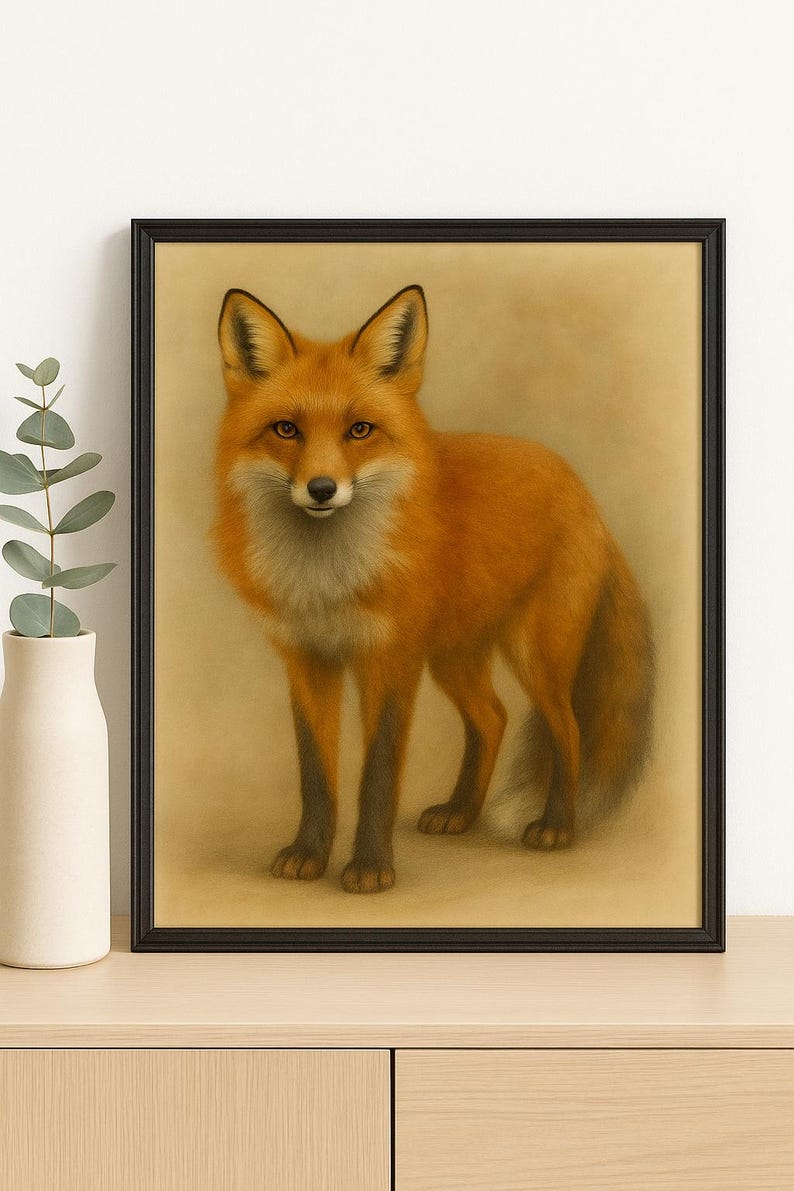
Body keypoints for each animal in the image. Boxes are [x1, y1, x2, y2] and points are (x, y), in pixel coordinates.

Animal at [214, 284, 654, 894]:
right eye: (286, 429)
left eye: (360, 430)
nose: (322, 489)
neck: (328, 577)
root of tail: (586, 495)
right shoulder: (307, 660)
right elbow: (315, 772)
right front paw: (309, 853)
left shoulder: (391, 659)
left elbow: (377, 774)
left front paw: (371, 868)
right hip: (454, 657)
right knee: (493, 718)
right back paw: (461, 812)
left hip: (535, 656)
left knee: (567, 728)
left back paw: (556, 828)